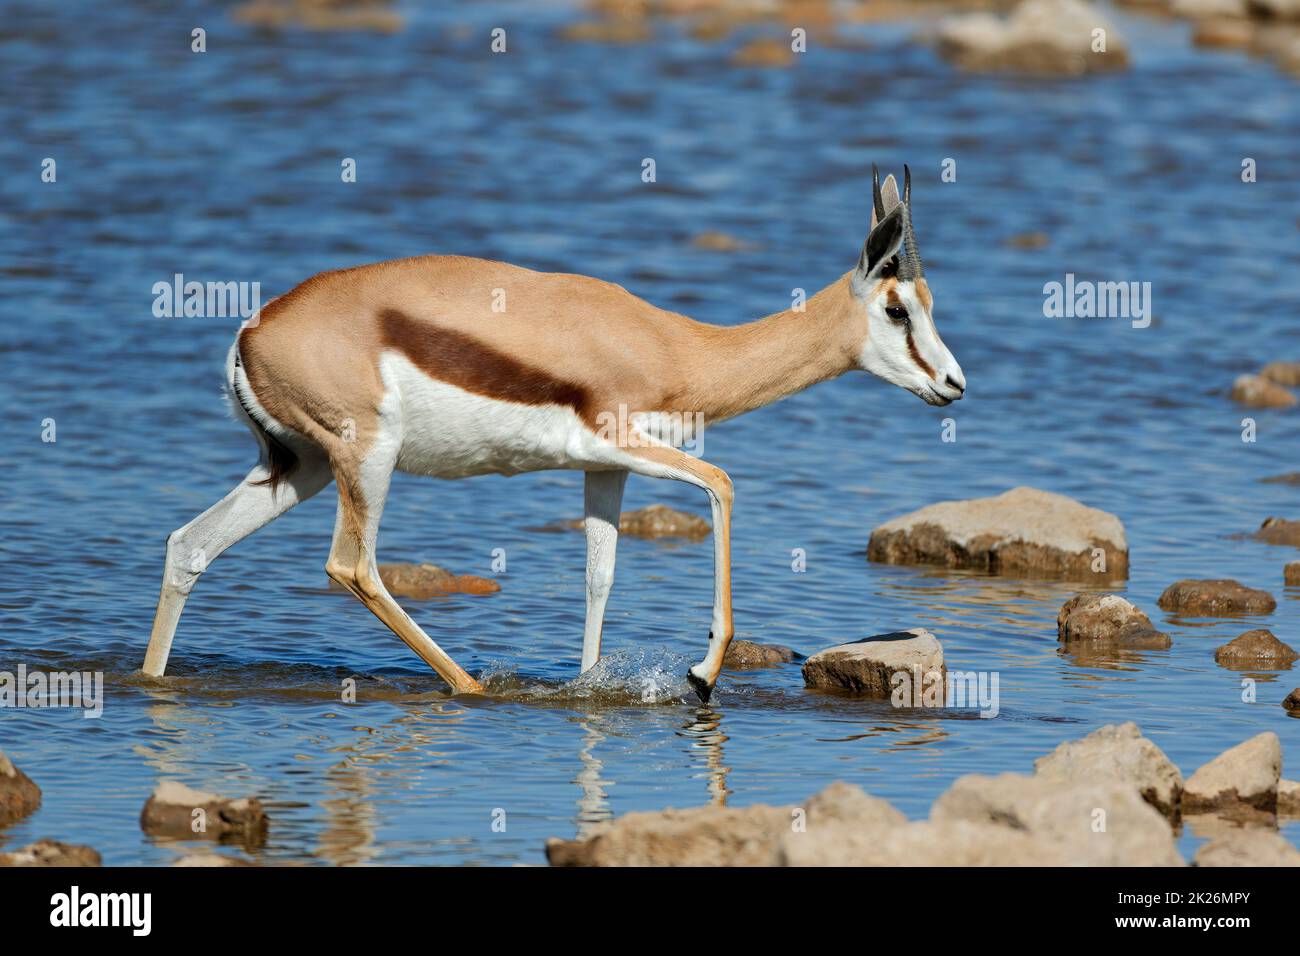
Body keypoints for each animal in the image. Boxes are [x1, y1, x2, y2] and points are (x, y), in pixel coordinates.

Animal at [142, 166, 965, 703]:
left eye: (929, 302)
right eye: (897, 309)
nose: (954, 383)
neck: (677, 347)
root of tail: (254, 329)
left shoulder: (607, 468)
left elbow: (600, 574)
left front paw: (589, 685)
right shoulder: (626, 445)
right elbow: (724, 484)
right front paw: (700, 675)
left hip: (299, 467)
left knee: (190, 546)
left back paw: (150, 681)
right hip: (365, 459)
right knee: (354, 567)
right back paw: (472, 686)